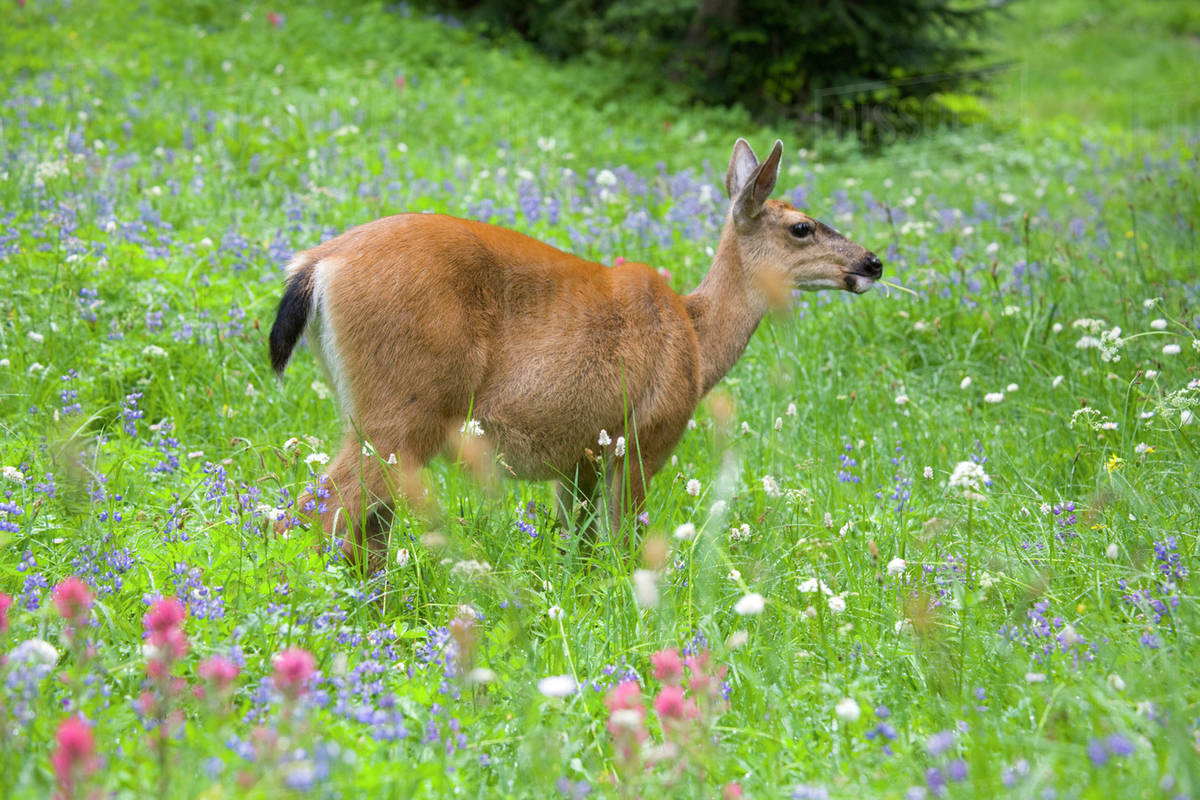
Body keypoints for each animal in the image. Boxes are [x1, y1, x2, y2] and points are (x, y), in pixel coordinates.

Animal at [268, 138, 882, 571]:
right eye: (801, 227)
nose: (872, 263)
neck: (696, 339)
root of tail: (316, 265)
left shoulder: (579, 453)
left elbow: (576, 547)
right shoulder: (646, 433)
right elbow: (624, 541)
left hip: (379, 414)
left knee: (363, 531)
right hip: (404, 406)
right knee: (313, 513)